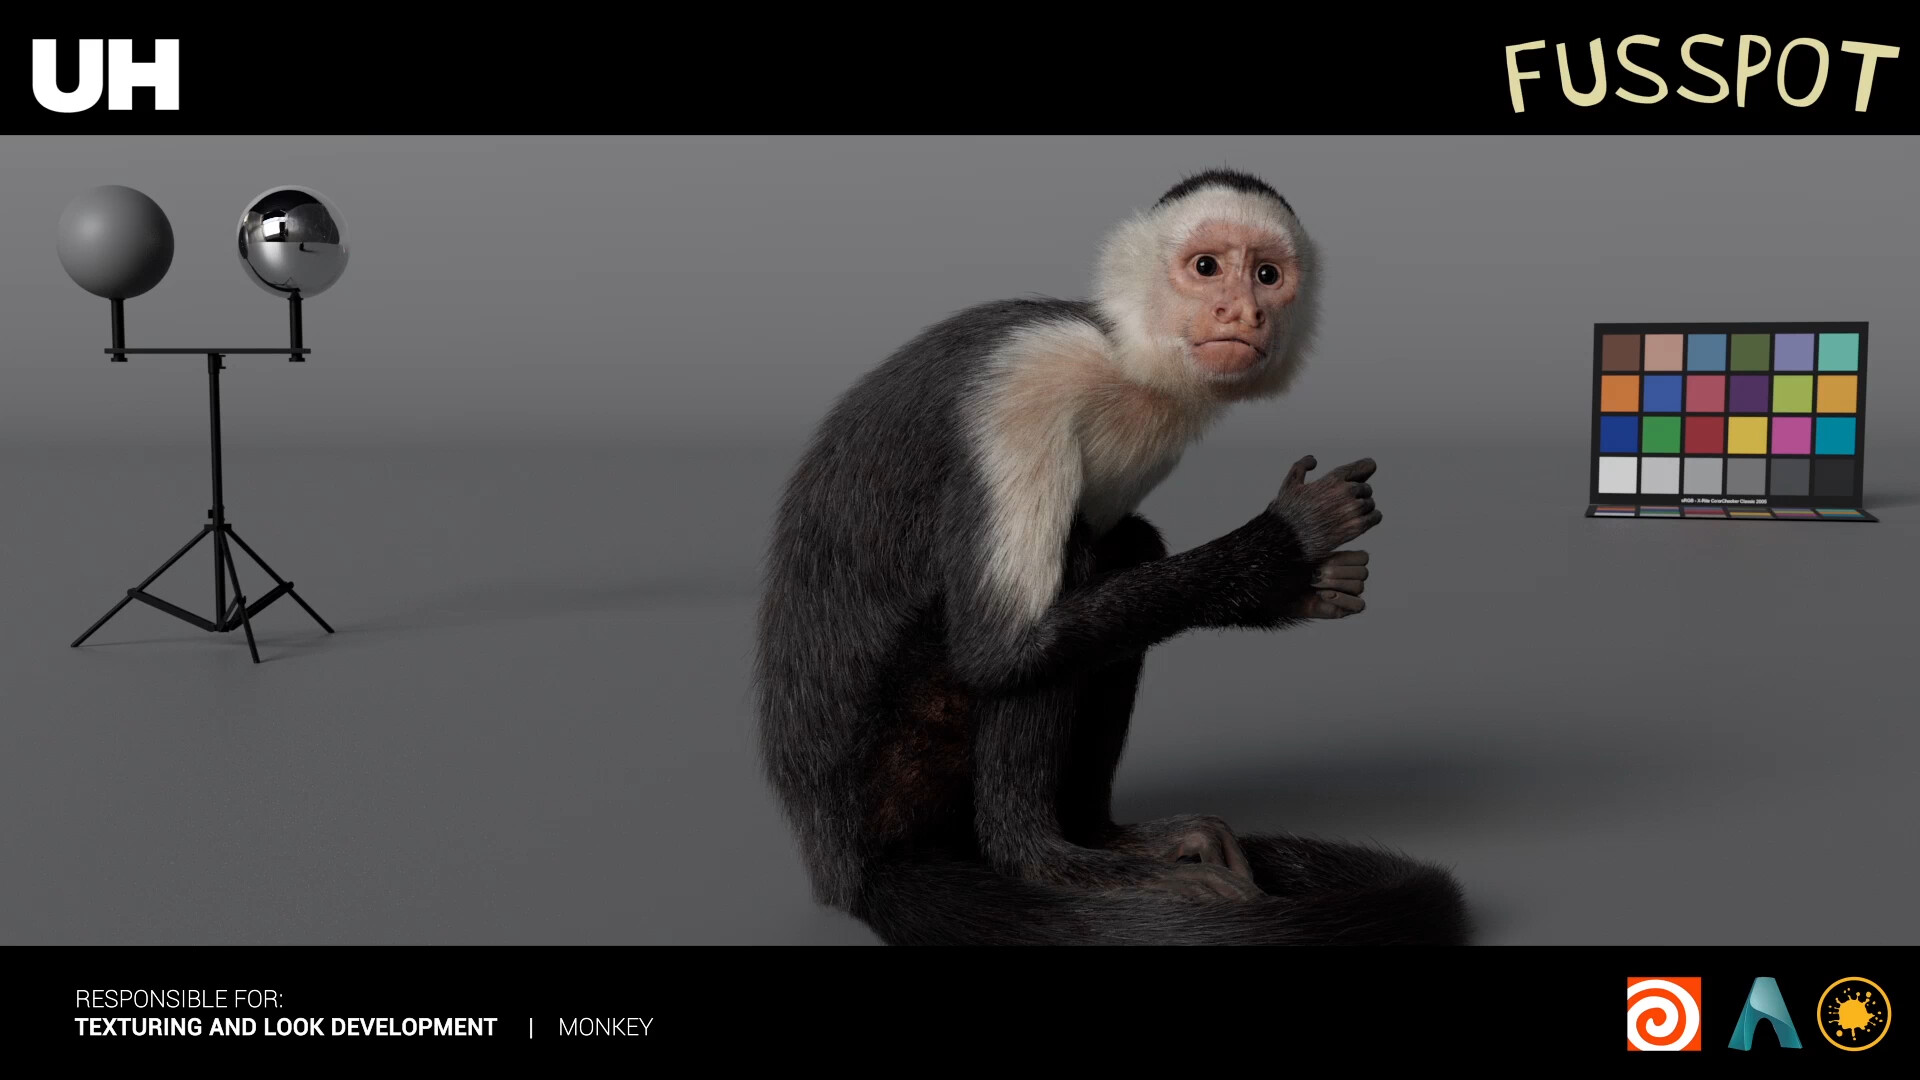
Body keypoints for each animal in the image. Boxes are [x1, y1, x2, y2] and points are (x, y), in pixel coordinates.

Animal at [755, 169, 1469, 944]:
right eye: (1206, 267)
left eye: (1268, 276)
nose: (1241, 311)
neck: (1126, 363)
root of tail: (843, 856)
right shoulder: (1025, 383)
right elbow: (1000, 649)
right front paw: (1283, 549)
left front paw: (1283, 590)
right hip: (903, 757)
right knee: (1062, 579)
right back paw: (1041, 861)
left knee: (1122, 550)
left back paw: (1103, 837)